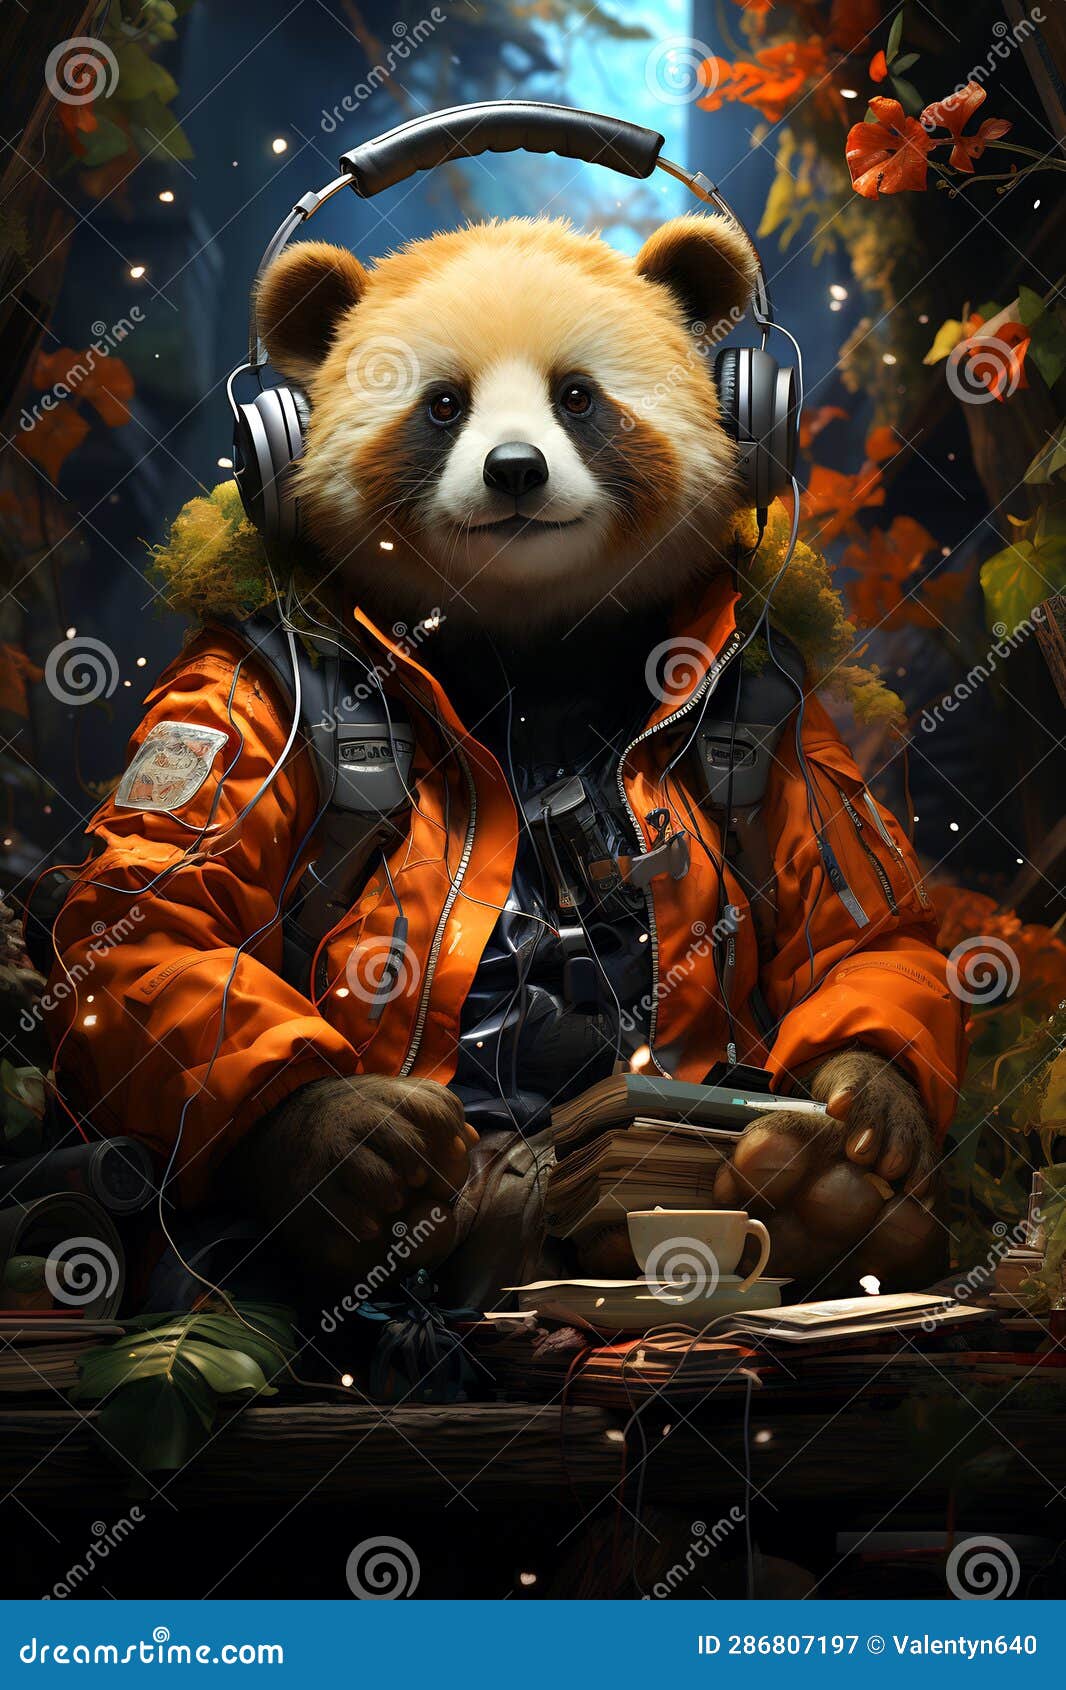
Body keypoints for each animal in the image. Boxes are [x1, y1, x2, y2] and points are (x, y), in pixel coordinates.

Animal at [48, 213, 967, 1302]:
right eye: (444, 404)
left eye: (578, 395)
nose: (516, 468)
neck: (524, 635)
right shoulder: (245, 676)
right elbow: (153, 912)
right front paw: (342, 1136)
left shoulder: (769, 695)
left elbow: (859, 919)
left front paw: (869, 1101)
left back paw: (825, 1192)